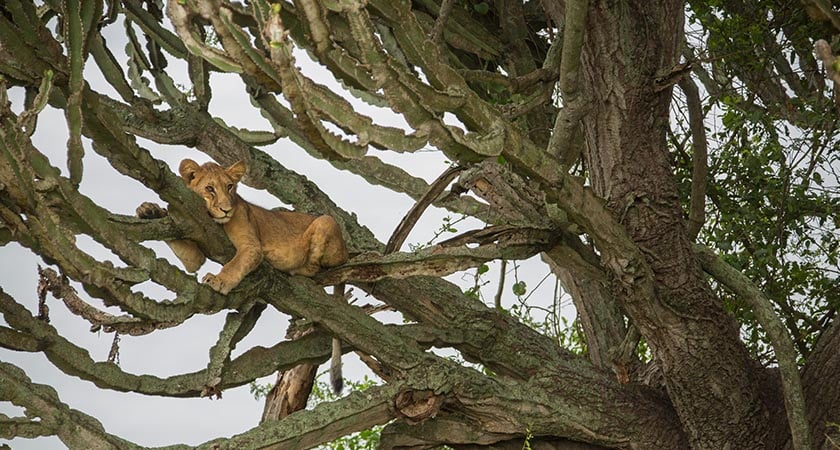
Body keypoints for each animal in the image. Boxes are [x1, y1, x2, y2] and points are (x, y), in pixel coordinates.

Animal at [137, 158, 349, 392]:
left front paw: (218, 281)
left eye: (230, 186)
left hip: (326, 221)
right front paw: (149, 210)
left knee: (313, 267)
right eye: (210, 189)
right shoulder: (194, 248)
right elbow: (190, 256)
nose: (226, 209)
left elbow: (234, 265)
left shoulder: (251, 246)